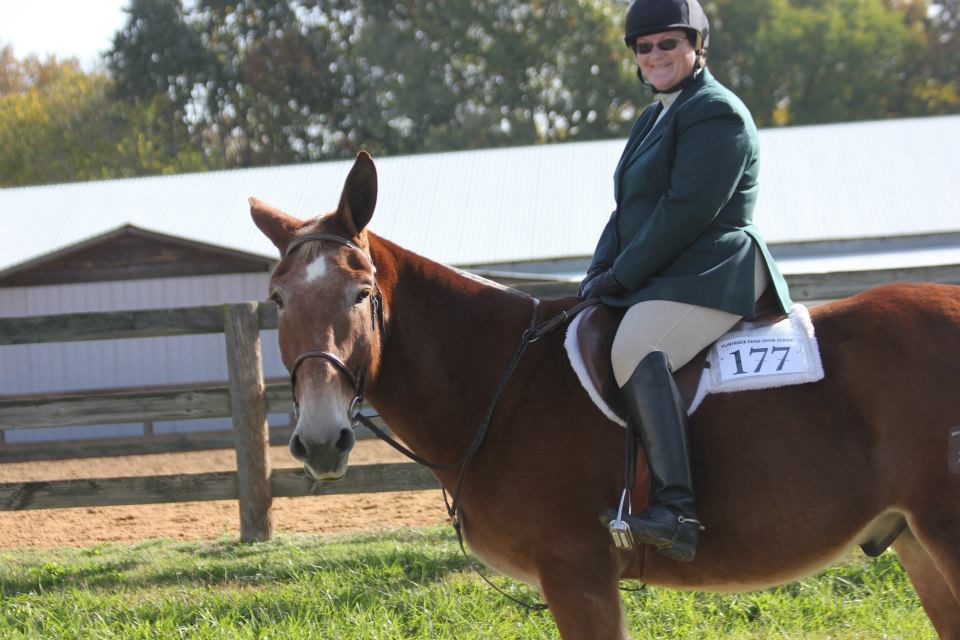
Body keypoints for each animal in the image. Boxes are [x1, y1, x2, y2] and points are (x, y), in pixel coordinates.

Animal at [250, 151, 960, 639]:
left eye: (360, 294)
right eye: (278, 300)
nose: (321, 440)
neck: (500, 381)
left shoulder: (578, 575)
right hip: (917, 543)